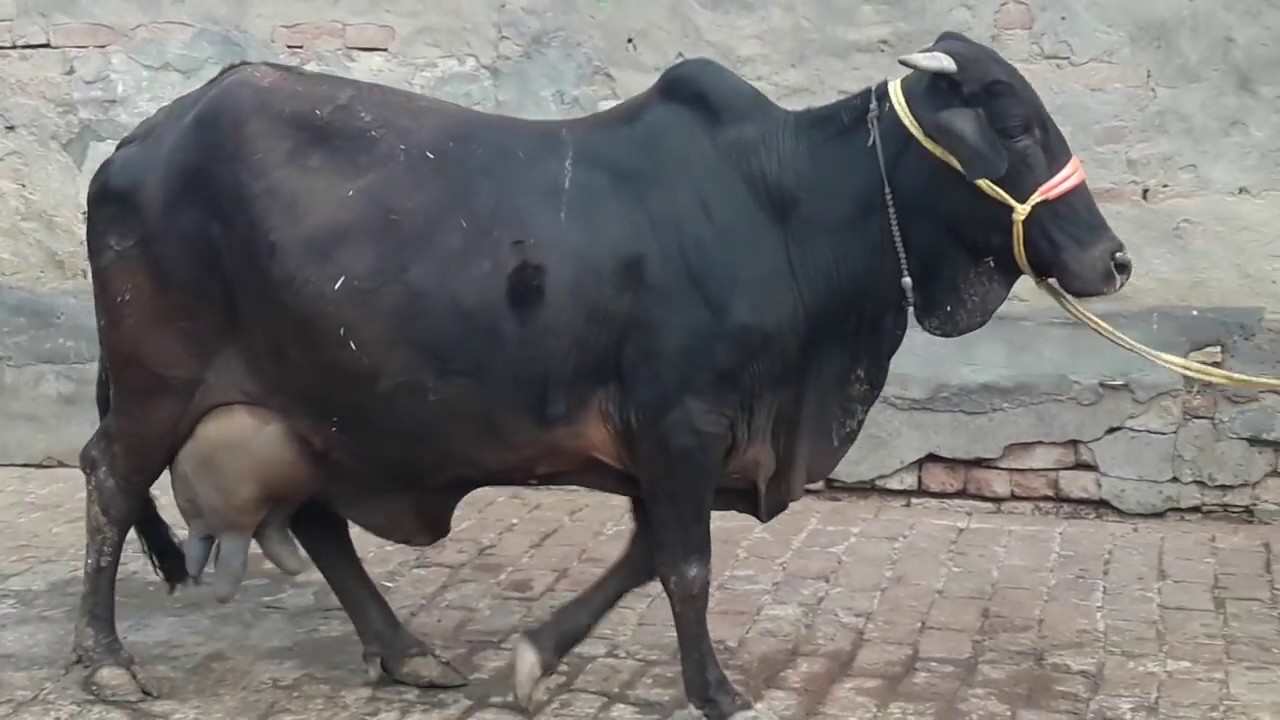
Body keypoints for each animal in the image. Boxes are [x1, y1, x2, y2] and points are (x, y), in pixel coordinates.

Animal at [74, 30, 1131, 719]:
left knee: (320, 519)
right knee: (111, 482)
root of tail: (137, 141)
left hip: (318, 408)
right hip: (159, 383)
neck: (787, 206)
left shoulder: (670, 444)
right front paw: (715, 691)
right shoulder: (683, 420)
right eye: (1015, 124)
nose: (1113, 260)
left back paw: (408, 653)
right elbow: (686, 564)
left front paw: (534, 658)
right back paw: (105, 661)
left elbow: (646, 555)